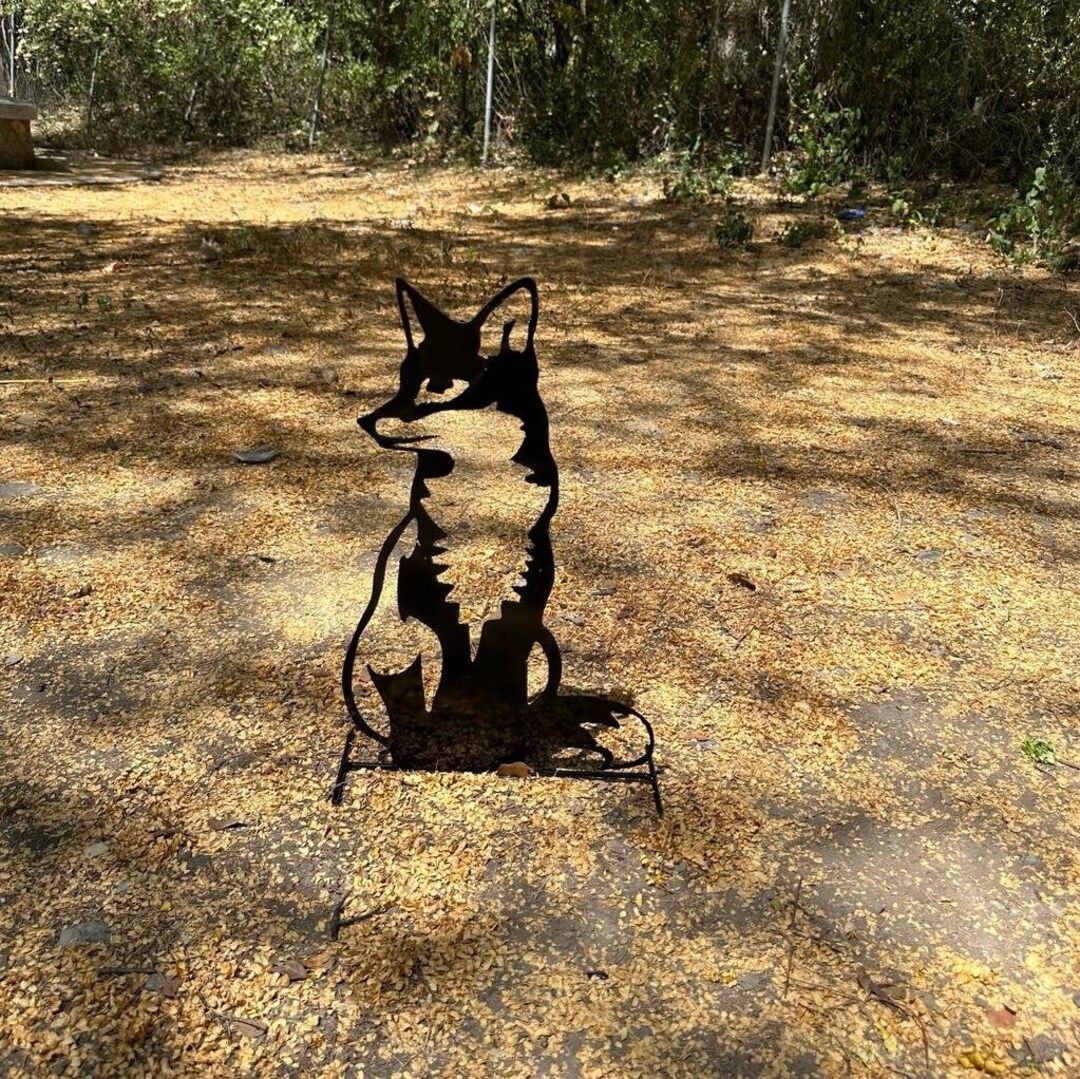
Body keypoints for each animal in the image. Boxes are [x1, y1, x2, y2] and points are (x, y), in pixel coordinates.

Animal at [340, 277, 653, 777]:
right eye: (401, 380)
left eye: (436, 385)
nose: (365, 420)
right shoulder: (434, 616)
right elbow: (438, 695)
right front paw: (451, 753)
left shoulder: (519, 613)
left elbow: (504, 684)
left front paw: (504, 751)